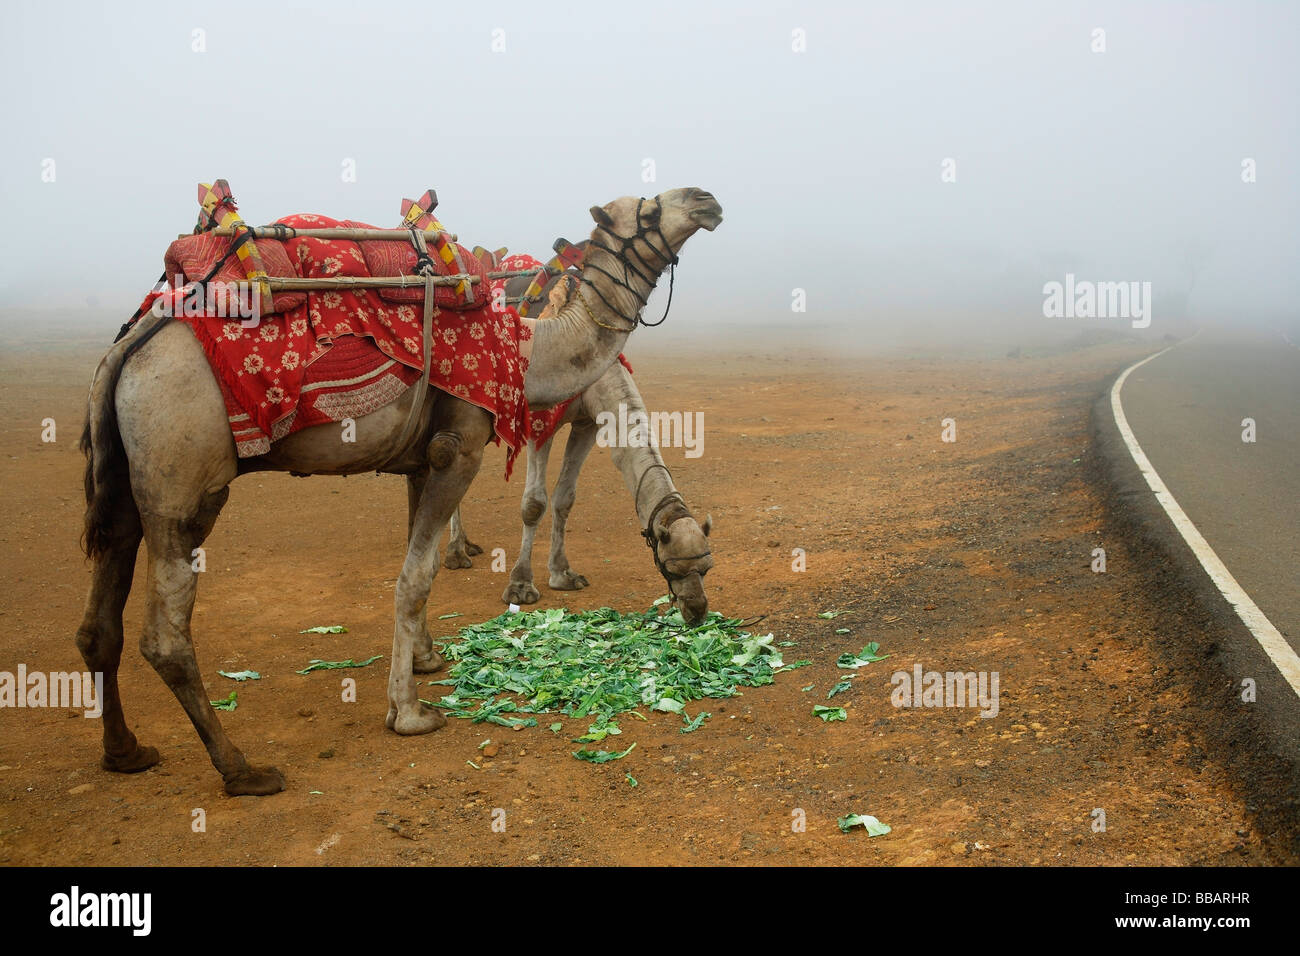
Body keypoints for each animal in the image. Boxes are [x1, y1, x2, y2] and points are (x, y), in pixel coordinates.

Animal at [75, 187, 722, 795]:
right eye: (645, 207)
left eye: (706, 565)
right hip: (184, 475)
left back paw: (126, 752)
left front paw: (429, 659)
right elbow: (414, 578)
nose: (707, 200)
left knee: (100, 618)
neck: (529, 347)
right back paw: (242, 769)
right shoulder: (460, 448)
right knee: (165, 633)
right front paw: (409, 713)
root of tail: (126, 348)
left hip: (127, 482)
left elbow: (425, 564)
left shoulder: (425, 458)